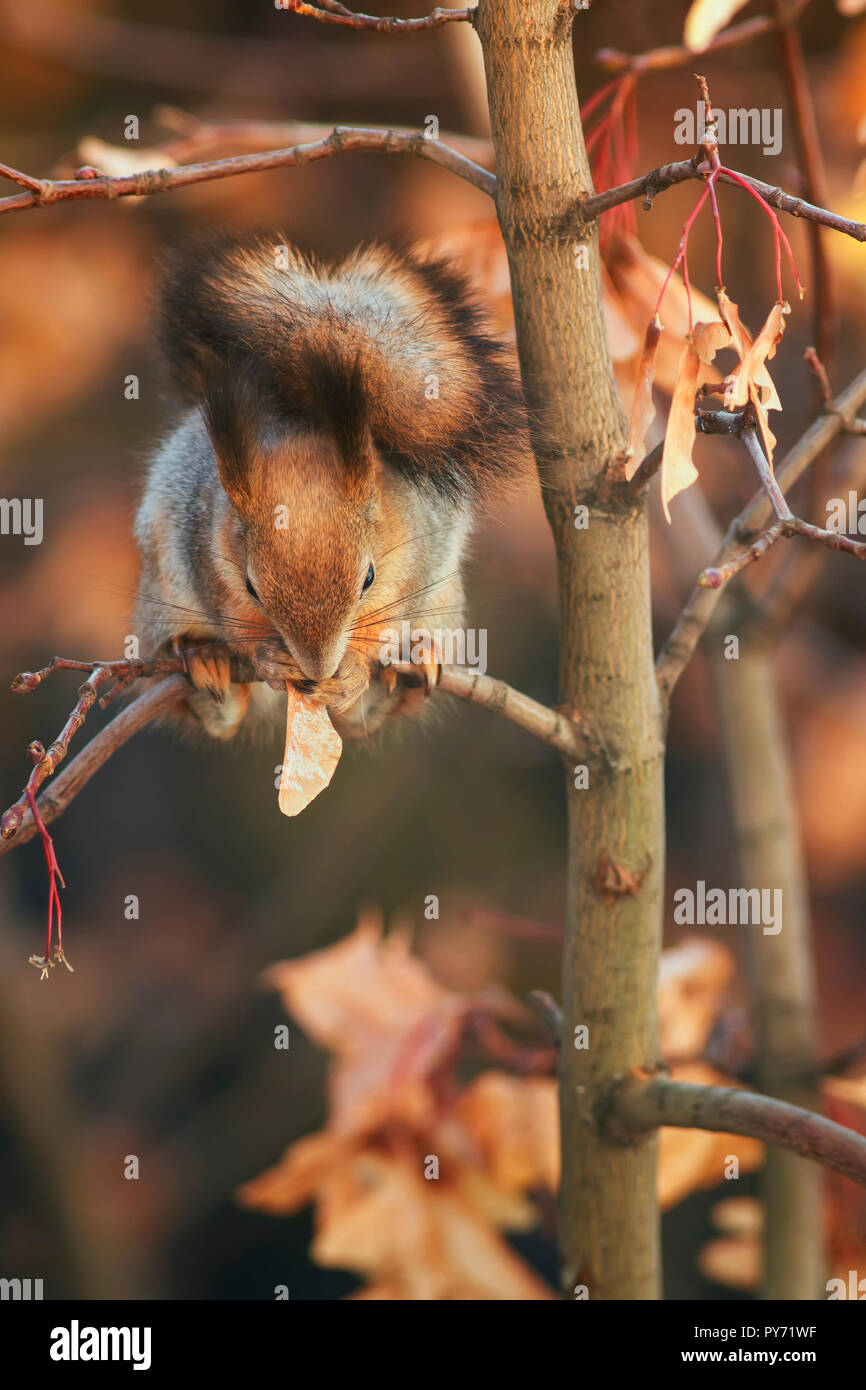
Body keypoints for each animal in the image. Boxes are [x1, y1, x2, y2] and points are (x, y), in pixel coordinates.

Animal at [133, 233, 529, 742]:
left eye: (369, 578)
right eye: (251, 586)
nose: (317, 669)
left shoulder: (413, 561)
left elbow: (384, 624)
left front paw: (357, 666)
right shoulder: (206, 555)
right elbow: (237, 623)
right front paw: (266, 657)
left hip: (443, 604)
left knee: (377, 710)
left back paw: (416, 660)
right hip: (162, 594)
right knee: (218, 713)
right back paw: (205, 661)